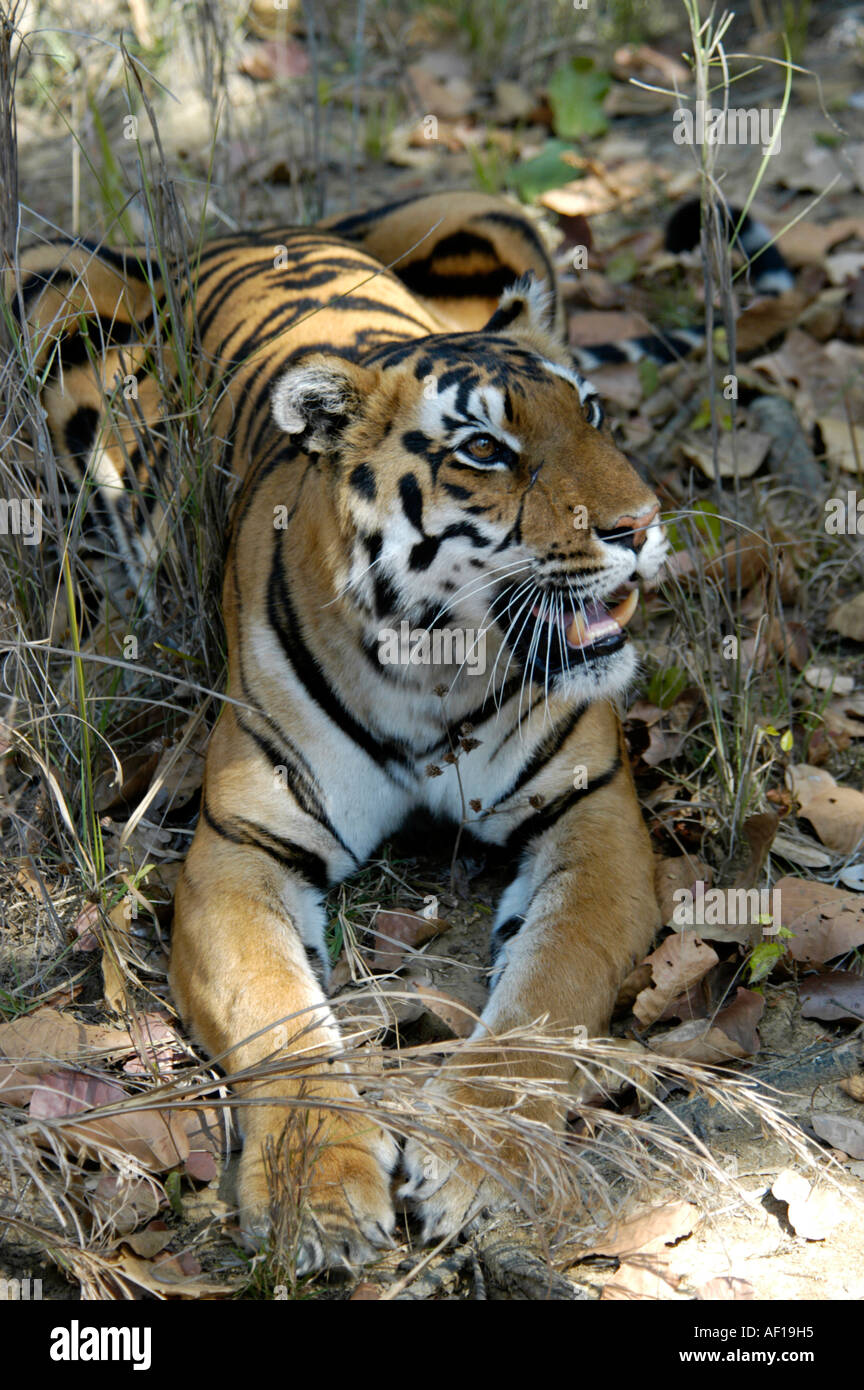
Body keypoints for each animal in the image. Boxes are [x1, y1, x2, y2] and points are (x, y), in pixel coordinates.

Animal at [13, 191, 671, 1272]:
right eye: (484, 451)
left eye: (597, 415)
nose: (640, 524)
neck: (438, 663)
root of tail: (239, 232)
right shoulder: (242, 847)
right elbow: (282, 1021)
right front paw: (313, 1194)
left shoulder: (595, 818)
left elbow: (545, 994)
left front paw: (484, 1159)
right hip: (44, 270)